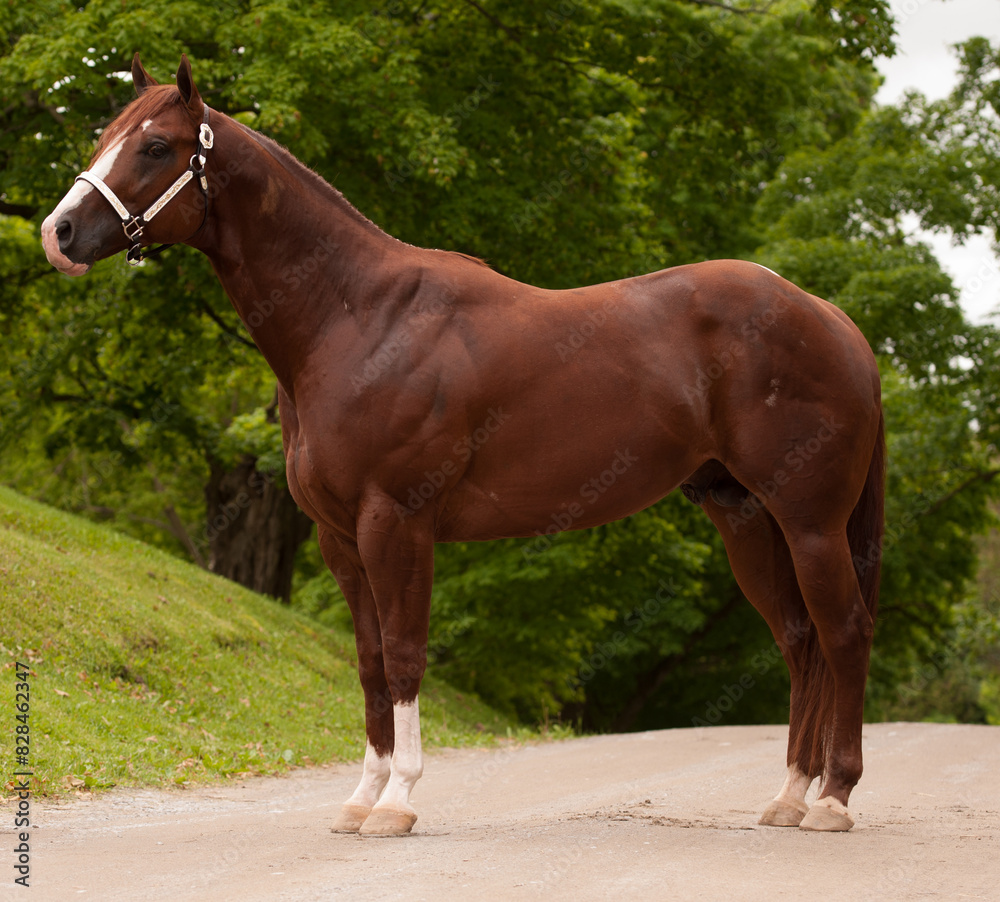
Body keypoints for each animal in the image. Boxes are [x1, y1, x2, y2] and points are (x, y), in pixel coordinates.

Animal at [41, 54, 884, 836]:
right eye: (104, 135)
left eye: (155, 145)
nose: (58, 233)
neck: (357, 318)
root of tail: (830, 317)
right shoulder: (339, 538)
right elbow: (370, 663)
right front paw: (360, 799)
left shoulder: (397, 521)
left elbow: (406, 655)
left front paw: (398, 803)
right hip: (745, 517)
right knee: (801, 641)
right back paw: (790, 795)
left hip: (810, 522)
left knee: (842, 632)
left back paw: (834, 799)